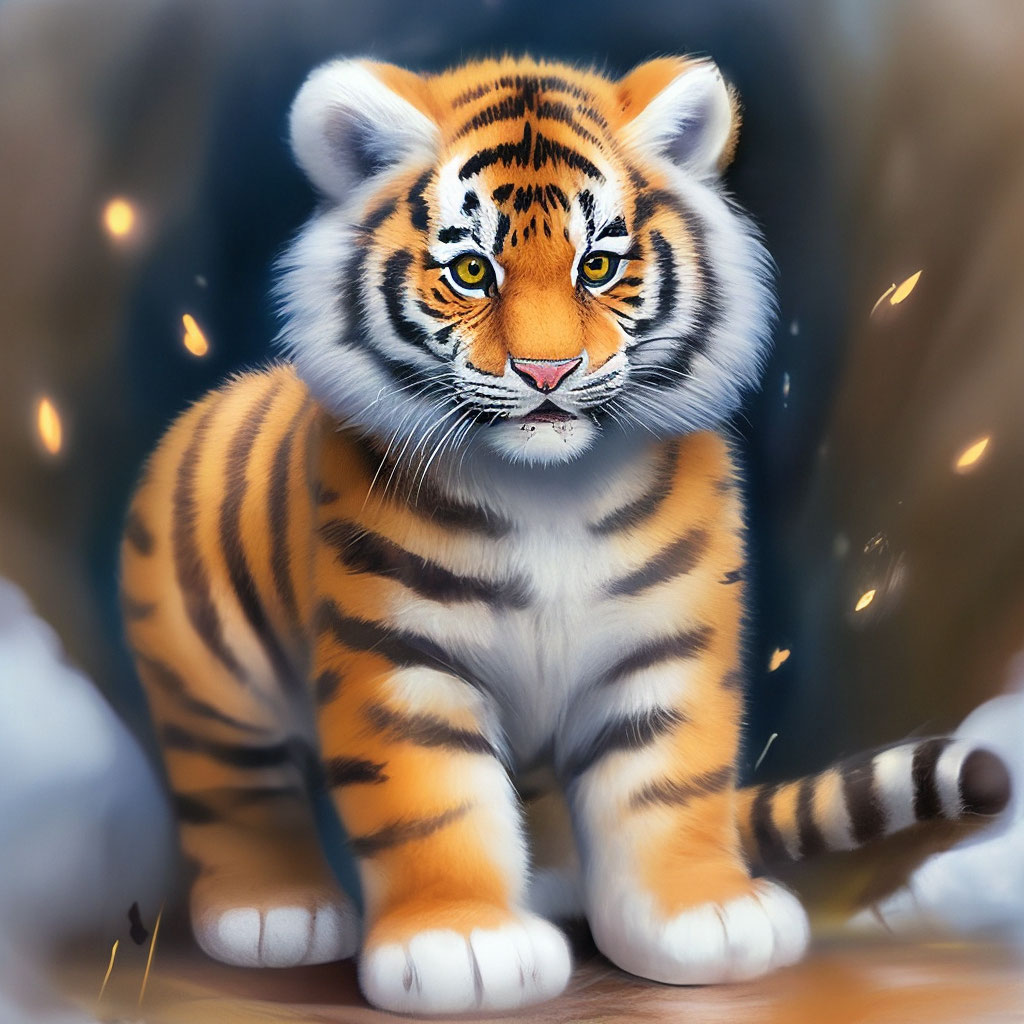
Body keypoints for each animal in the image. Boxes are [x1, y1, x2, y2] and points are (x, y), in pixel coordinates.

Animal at [120, 54, 1010, 1015]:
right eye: (473, 271)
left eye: (599, 265)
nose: (547, 373)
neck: (546, 490)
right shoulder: (401, 657)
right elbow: (434, 803)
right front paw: (463, 943)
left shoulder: (666, 644)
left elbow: (670, 785)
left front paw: (704, 917)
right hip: (211, 679)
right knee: (235, 788)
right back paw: (275, 910)